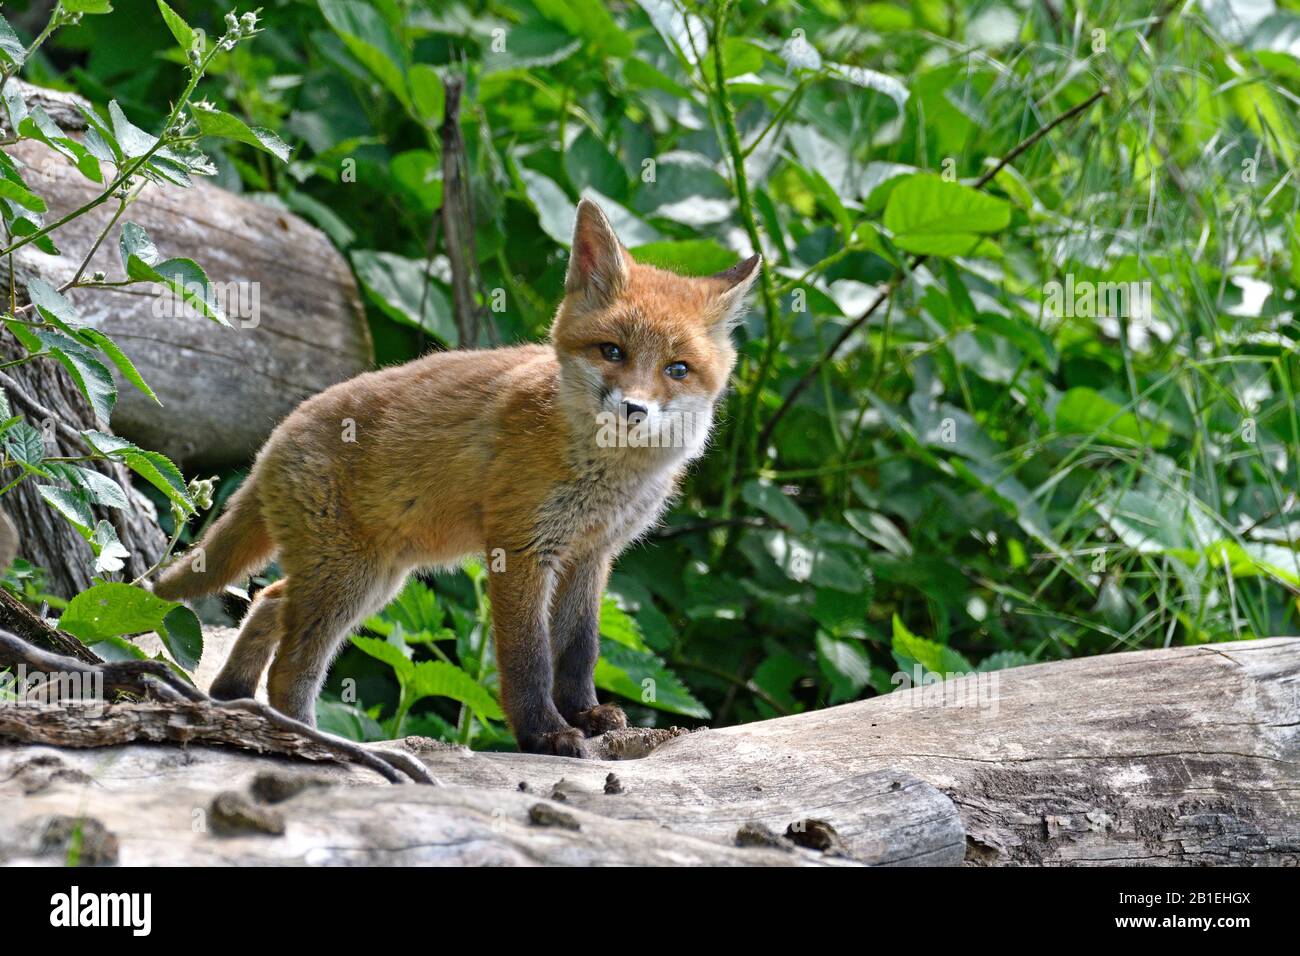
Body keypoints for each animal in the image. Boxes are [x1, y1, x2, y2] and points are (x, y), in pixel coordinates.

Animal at [153, 198, 760, 756]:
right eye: (612, 351)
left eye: (677, 369)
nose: (634, 409)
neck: (604, 475)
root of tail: (273, 438)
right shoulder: (520, 549)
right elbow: (528, 660)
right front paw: (544, 734)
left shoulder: (591, 555)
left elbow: (578, 649)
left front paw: (585, 714)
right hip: (349, 580)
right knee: (289, 666)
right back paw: (314, 739)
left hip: (371, 579)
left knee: (270, 601)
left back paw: (233, 696)